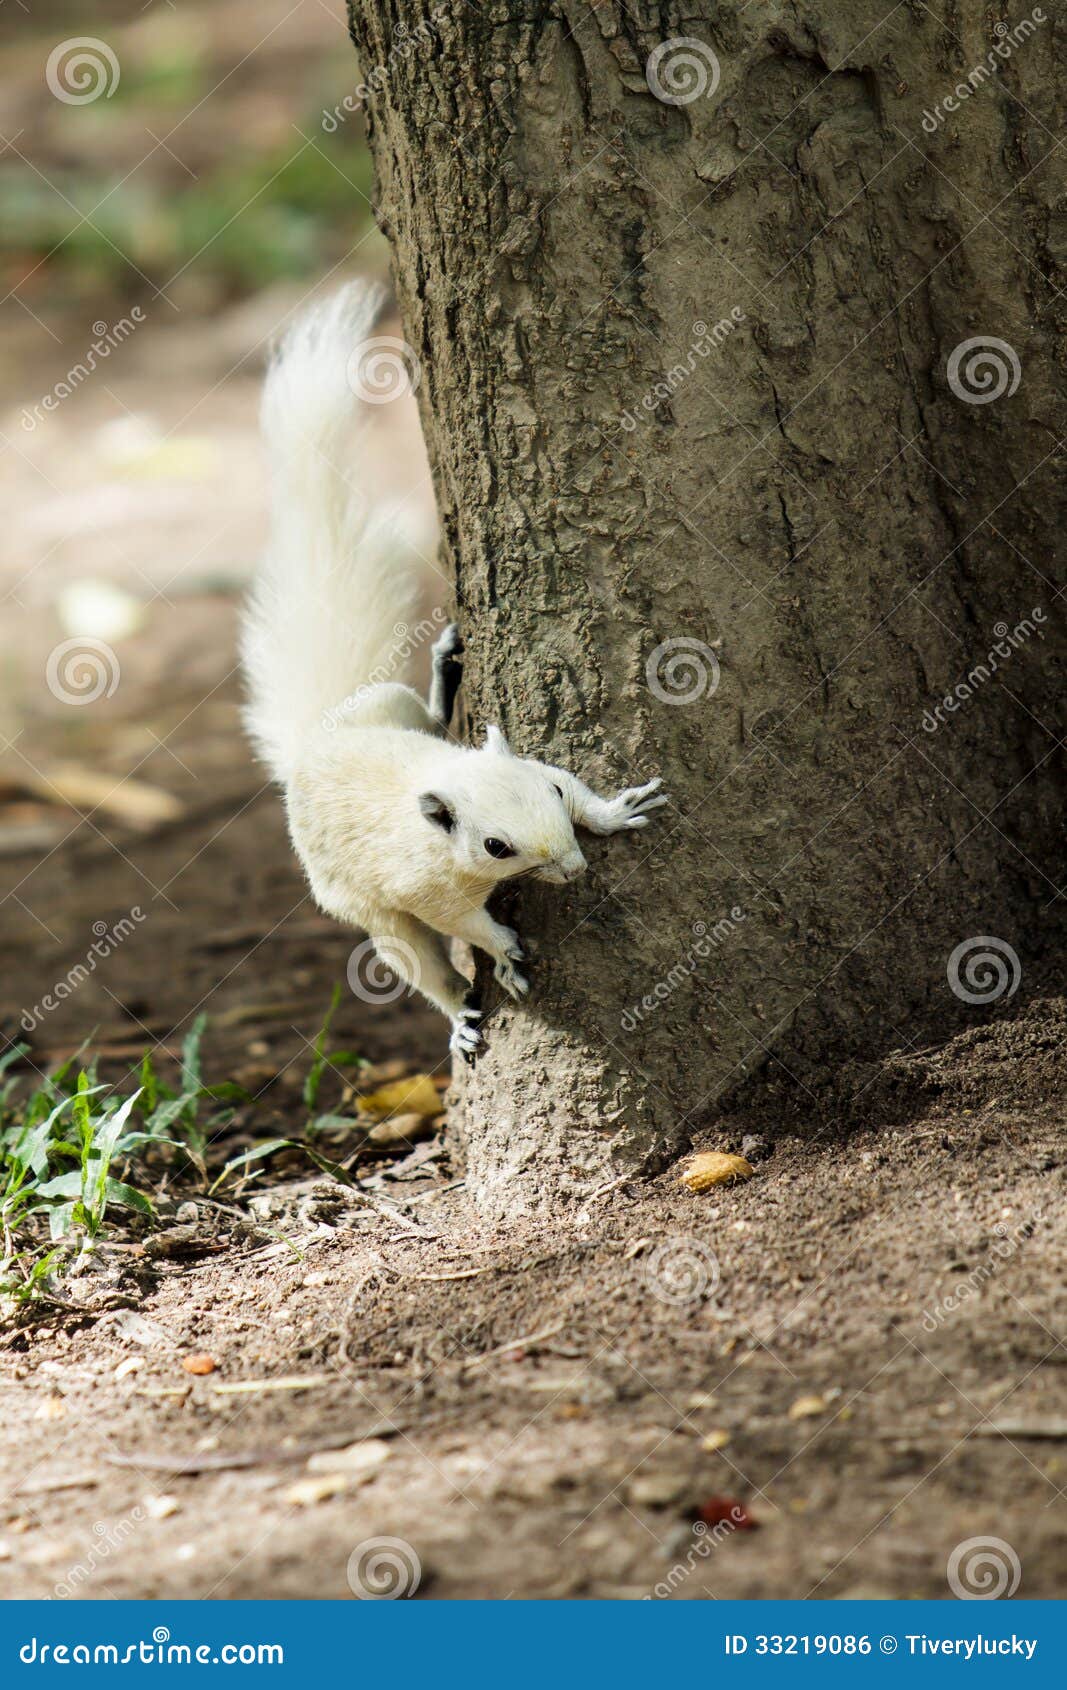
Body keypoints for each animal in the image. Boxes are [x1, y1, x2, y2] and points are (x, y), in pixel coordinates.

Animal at [241, 282, 667, 1061]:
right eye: (495, 846)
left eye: (550, 795)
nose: (574, 869)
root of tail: (307, 755)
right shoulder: (426, 889)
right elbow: (466, 926)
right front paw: (505, 951)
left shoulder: (543, 767)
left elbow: (584, 791)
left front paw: (615, 813)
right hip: (358, 904)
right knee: (415, 963)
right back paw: (461, 1018)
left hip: (382, 703)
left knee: (426, 715)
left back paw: (444, 671)